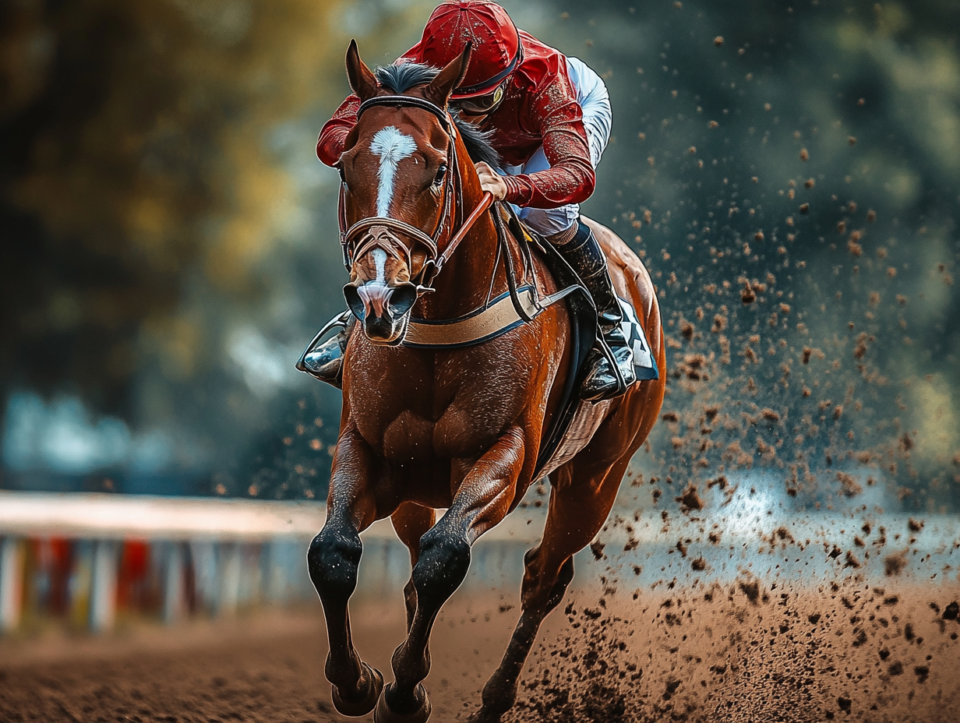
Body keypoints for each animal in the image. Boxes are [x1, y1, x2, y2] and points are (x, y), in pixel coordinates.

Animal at [306, 41, 666, 723]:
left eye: (435, 171)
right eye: (346, 170)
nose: (378, 297)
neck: (441, 323)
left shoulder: (507, 456)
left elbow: (445, 560)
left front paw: (402, 693)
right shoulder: (366, 446)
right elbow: (333, 555)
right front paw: (358, 683)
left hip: (596, 476)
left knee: (543, 577)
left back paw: (494, 698)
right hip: (418, 481)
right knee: (415, 546)